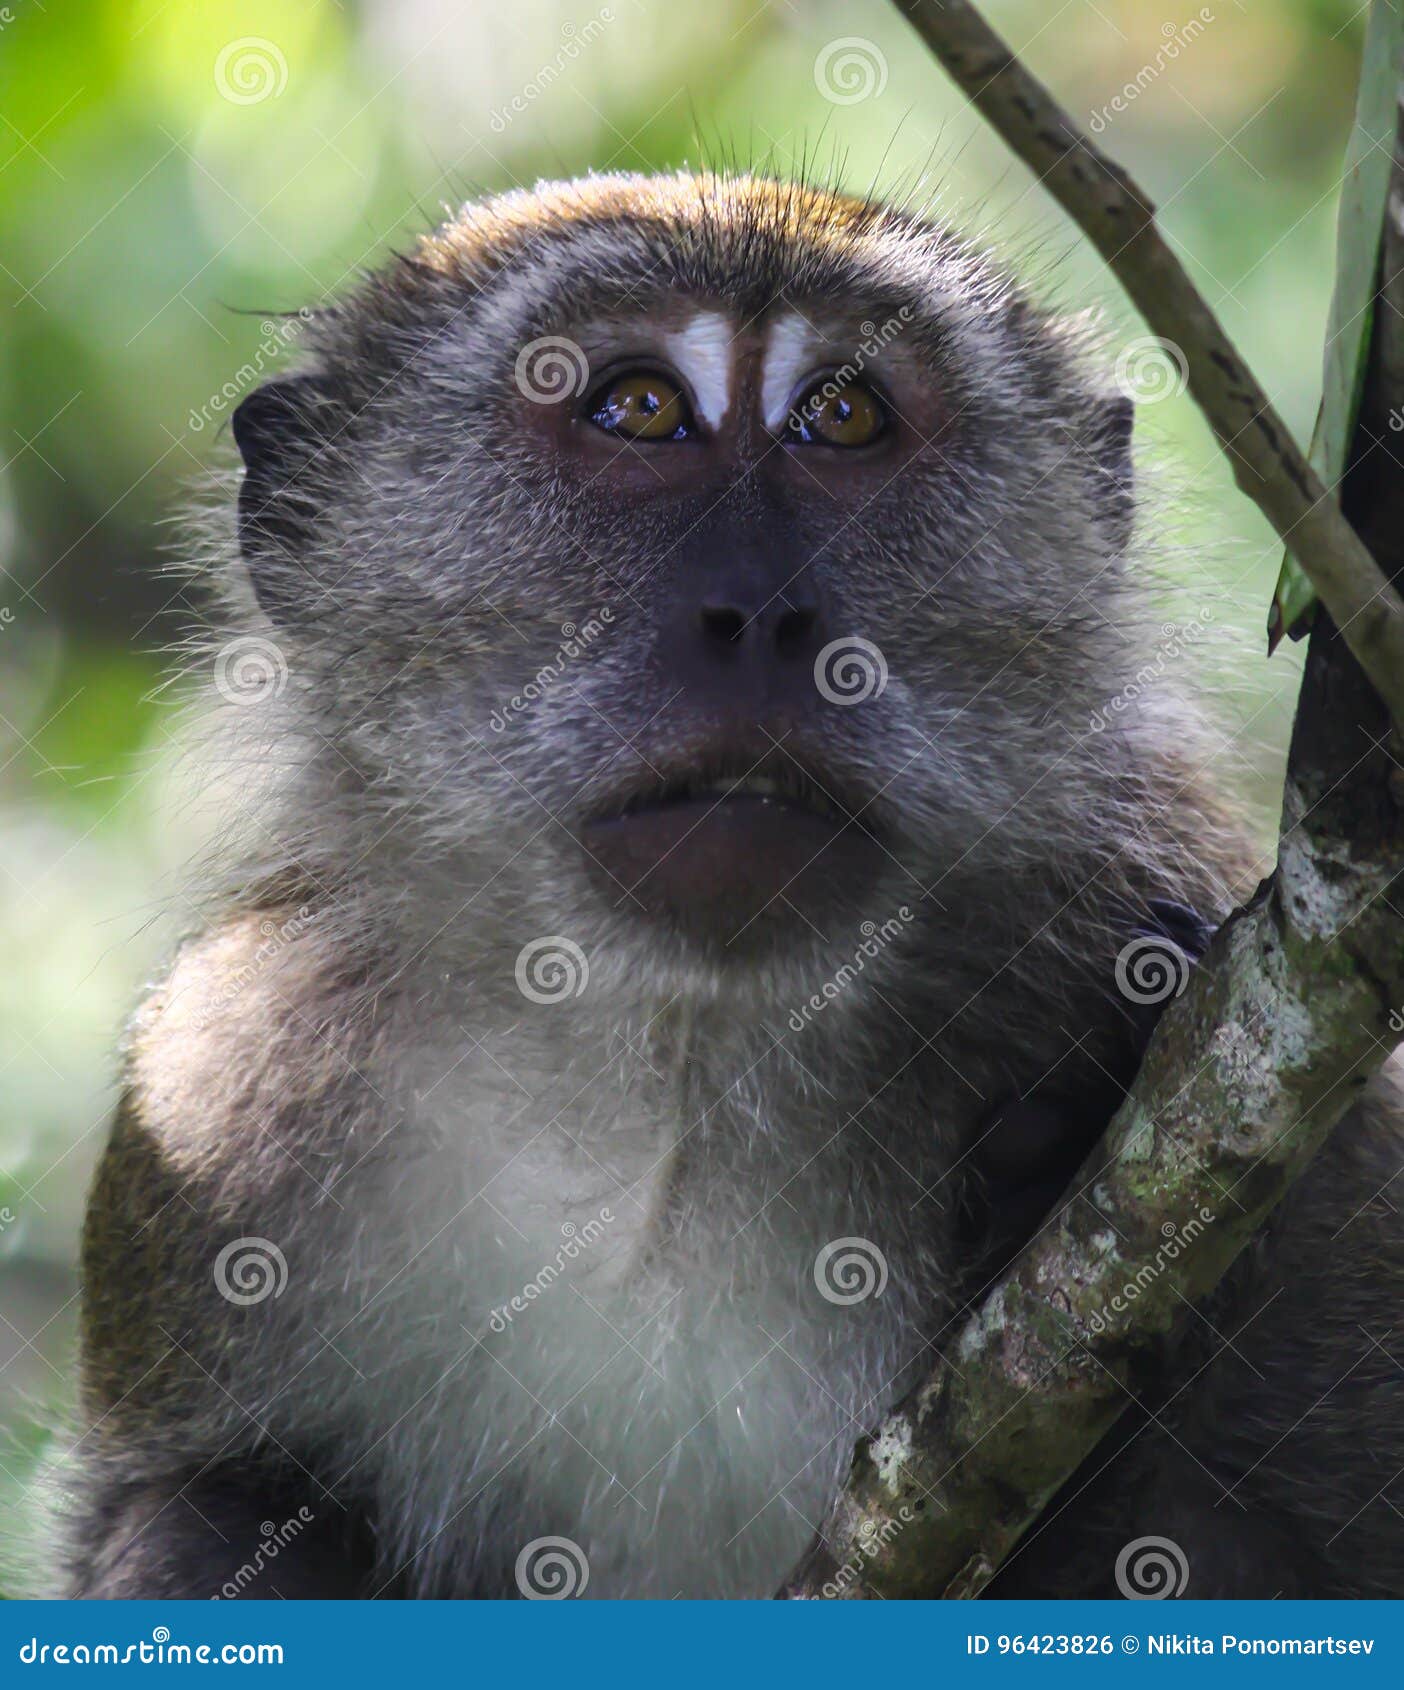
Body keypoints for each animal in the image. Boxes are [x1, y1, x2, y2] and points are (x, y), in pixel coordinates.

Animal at [54, 172, 1403, 1600]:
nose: (758, 613)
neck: (682, 1048)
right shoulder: (226, 1094)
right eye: (638, 407)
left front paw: (1062, 1154)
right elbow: (191, 1506)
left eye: (842, 414)